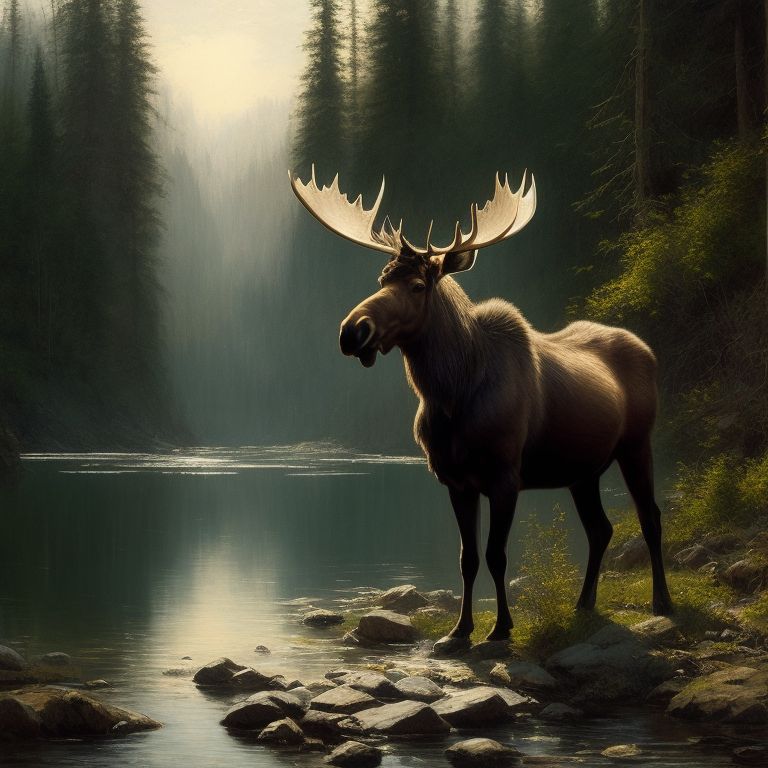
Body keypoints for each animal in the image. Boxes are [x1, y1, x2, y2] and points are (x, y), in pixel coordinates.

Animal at [289, 167, 674, 655]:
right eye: (381, 279)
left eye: (418, 285)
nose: (352, 331)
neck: (453, 395)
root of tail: (650, 351)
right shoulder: (455, 480)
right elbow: (467, 558)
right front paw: (458, 630)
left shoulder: (505, 476)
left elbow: (496, 555)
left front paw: (500, 628)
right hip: (582, 469)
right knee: (600, 528)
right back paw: (583, 604)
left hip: (636, 444)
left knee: (650, 516)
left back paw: (662, 601)